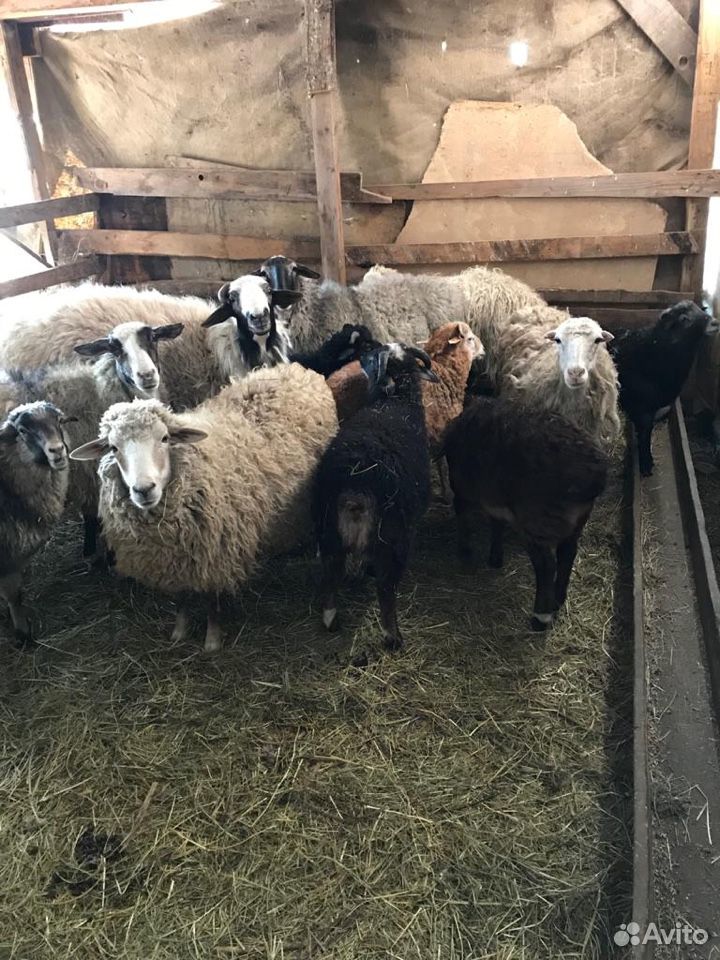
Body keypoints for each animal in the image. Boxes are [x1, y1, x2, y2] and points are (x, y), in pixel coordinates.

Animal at [0, 401, 71, 643]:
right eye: (22, 430)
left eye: (59, 421)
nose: (57, 450)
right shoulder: (8, 555)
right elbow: (14, 595)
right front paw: (22, 632)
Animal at [70, 363, 339, 652]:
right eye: (113, 447)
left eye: (165, 438)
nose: (144, 489)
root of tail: (296, 370)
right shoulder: (176, 557)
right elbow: (180, 597)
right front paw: (180, 631)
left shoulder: (216, 550)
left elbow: (212, 600)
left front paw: (212, 640)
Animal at [313, 342, 439, 651]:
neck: (397, 400)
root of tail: (356, 487)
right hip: (394, 537)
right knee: (386, 589)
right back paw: (393, 637)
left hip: (327, 528)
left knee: (330, 574)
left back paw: (330, 619)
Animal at [445, 397, 609, 631]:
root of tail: (593, 477)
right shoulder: (495, 497)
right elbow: (496, 522)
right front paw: (495, 557)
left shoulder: (463, 486)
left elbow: (463, 513)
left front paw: (466, 552)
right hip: (577, 520)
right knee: (568, 552)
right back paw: (558, 599)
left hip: (537, 522)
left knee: (546, 565)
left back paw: (541, 616)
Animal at [608, 301, 718, 476]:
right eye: (684, 318)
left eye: (701, 310)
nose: (714, 322)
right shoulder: (642, 408)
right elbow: (645, 434)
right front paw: (646, 464)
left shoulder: (659, 407)